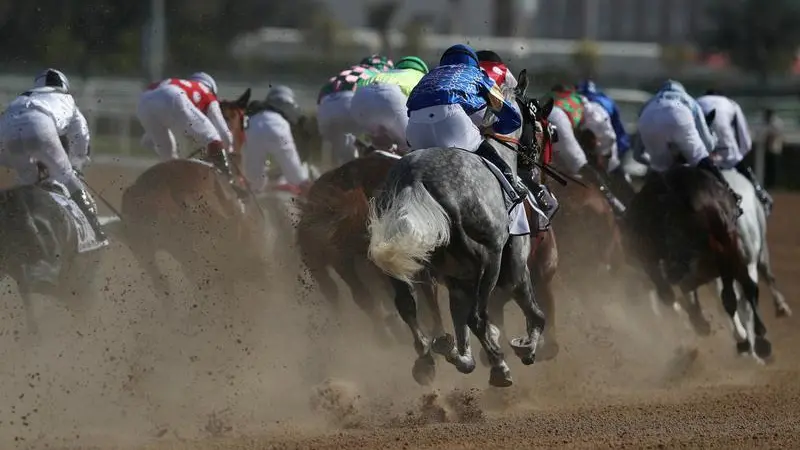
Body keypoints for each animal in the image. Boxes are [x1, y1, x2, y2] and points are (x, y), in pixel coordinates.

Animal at [368, 70, 554, 387]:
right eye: (541, 128)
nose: (534, 174)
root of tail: (415, 178)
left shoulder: (456, 277)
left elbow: (457, 317)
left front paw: (461, 355)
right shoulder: (515, 266)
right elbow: (535, 314)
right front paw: (525, 348)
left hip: (403, 254)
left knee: (408, 305)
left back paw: (428, 358)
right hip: (489, 260)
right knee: (477, 316)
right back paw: (499, 367)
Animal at [621, 110, 774, 363]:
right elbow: (741, 290)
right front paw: (756, 339)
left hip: (654, 252)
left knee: (671, 291)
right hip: (724, 249)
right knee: (734, 292)